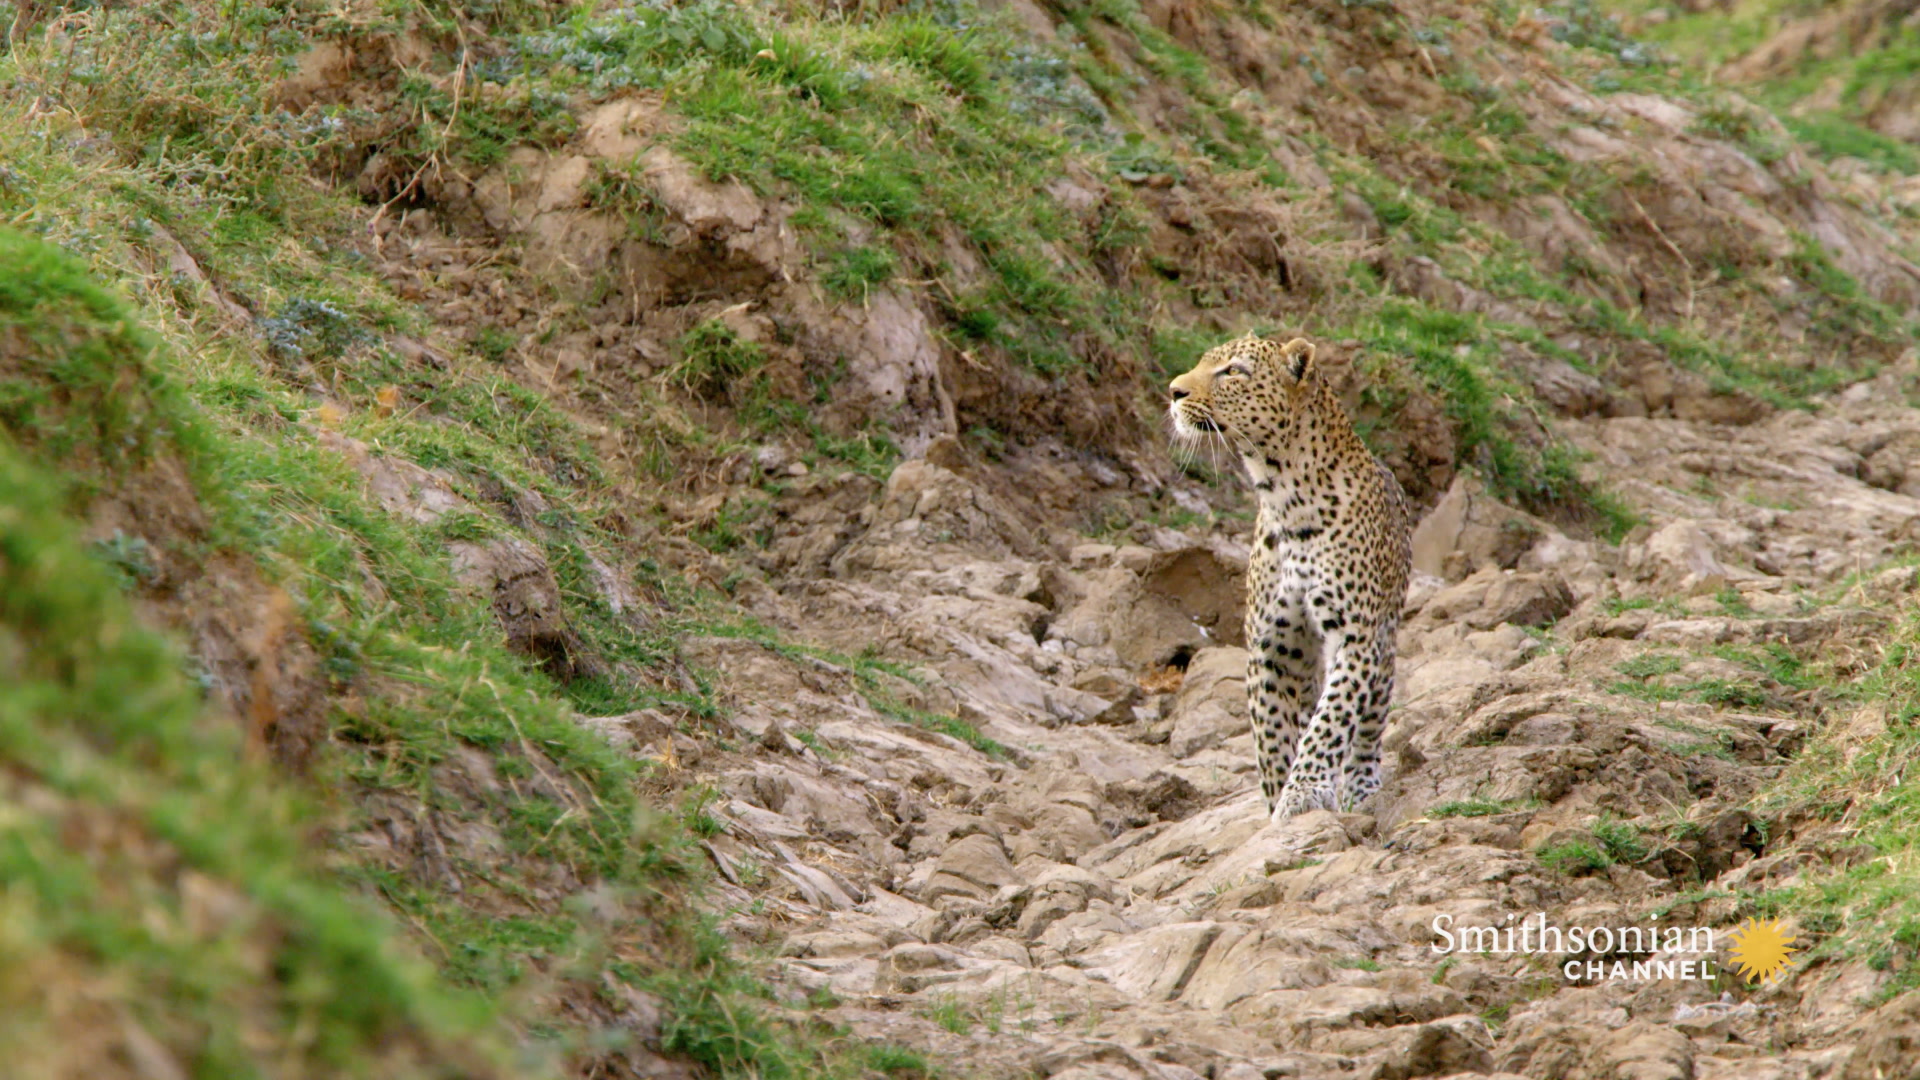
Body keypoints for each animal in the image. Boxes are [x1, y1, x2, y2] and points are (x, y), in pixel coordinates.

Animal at [1168, 334, 1412, 821]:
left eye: (1233, 371)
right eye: (1204, 363)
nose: (1173, 391)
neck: (1283, 496)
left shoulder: (1355, 636)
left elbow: (1331, 720)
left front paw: (1302, 792)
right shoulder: (1273, 643)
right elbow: (1272, 734)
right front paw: (1280, 796)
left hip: (1385, 639)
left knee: (1370, 719)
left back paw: (1361, 786)